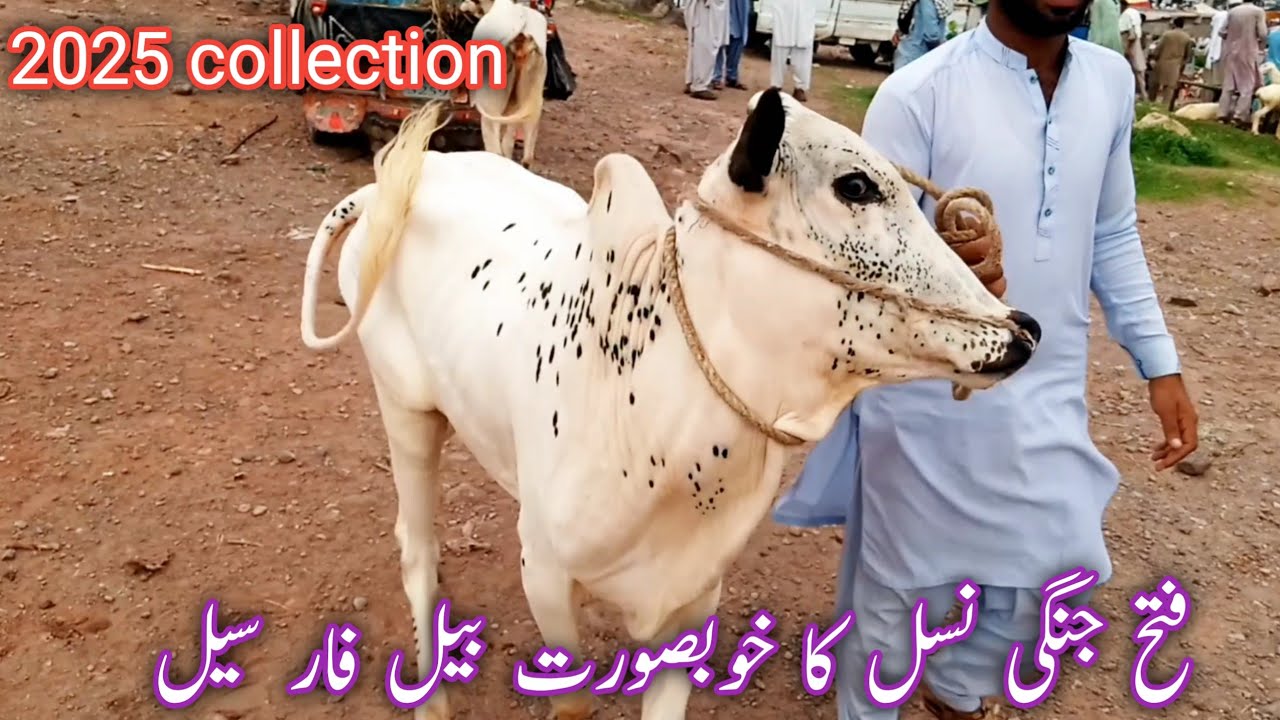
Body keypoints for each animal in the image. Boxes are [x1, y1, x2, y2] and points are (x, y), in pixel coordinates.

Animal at [298, 88, 1040, 720]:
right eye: (854, 186)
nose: (1023, 329)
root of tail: (384, 186)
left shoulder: (692, 600)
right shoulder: (546, 574)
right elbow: (572, 699)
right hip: (405, 410)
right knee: (416, 552)